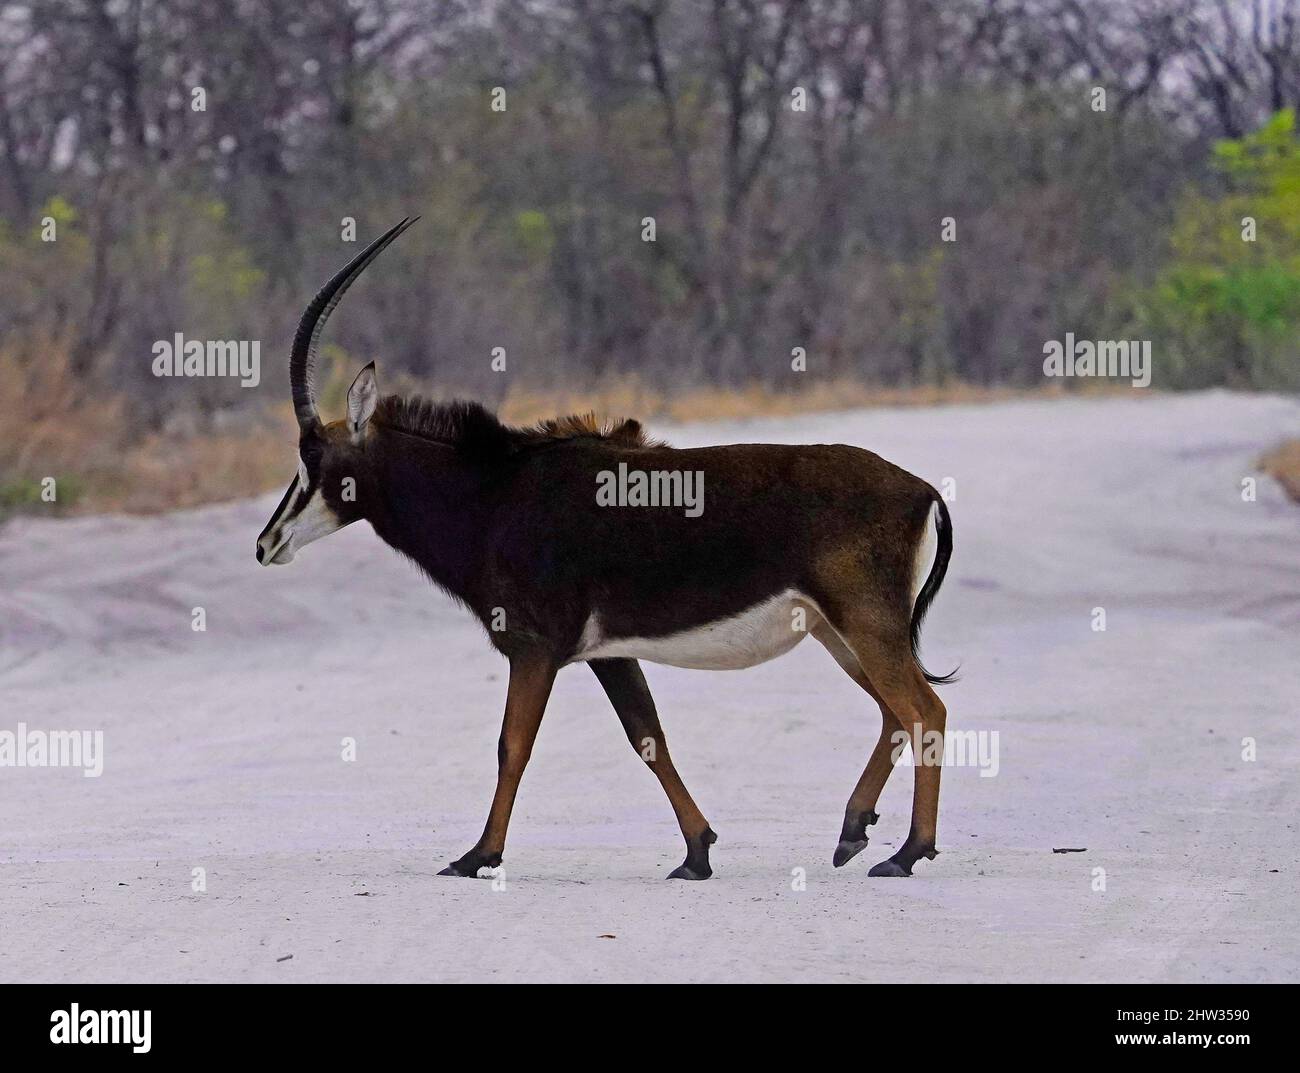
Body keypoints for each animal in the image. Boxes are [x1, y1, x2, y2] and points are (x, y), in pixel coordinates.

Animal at [256, 219, 956, 881]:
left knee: (925, 708)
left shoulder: (535, 649)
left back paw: (906, 852)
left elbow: (513, 745)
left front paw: (478, 856)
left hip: (864, 623)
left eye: (313, 456)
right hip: (837, 632)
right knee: (896, 712)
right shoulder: (608, 653)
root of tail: (922, 490)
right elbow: (648, 737)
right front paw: (696, 852)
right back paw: (854, 832)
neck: (495, 494)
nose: (266, 543)